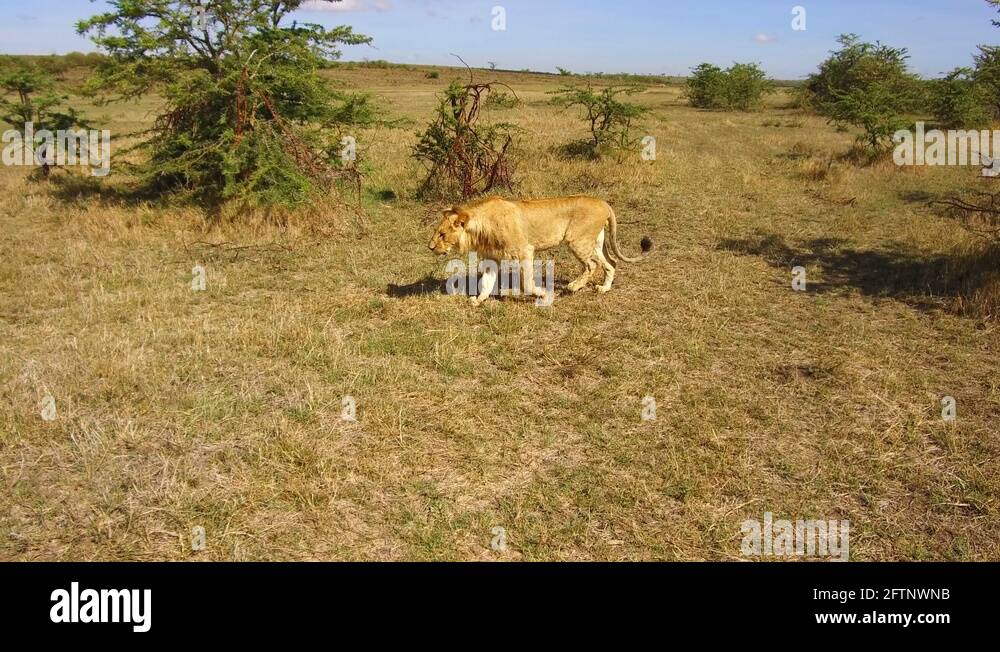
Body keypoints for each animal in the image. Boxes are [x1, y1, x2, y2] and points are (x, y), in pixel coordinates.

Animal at [429, 196, 652, 305]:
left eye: (442, 234)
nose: (430, 247)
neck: (480, 227)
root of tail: (604, 203)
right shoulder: (492, 259)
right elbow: (486, 282)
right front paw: (479, 300)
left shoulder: (525, 251)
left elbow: (527, 283)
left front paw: (543, 294)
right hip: (594, 242)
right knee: (610, 263)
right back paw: (604, 288)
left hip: (577, 241)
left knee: (592, 265)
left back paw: (573, 287)